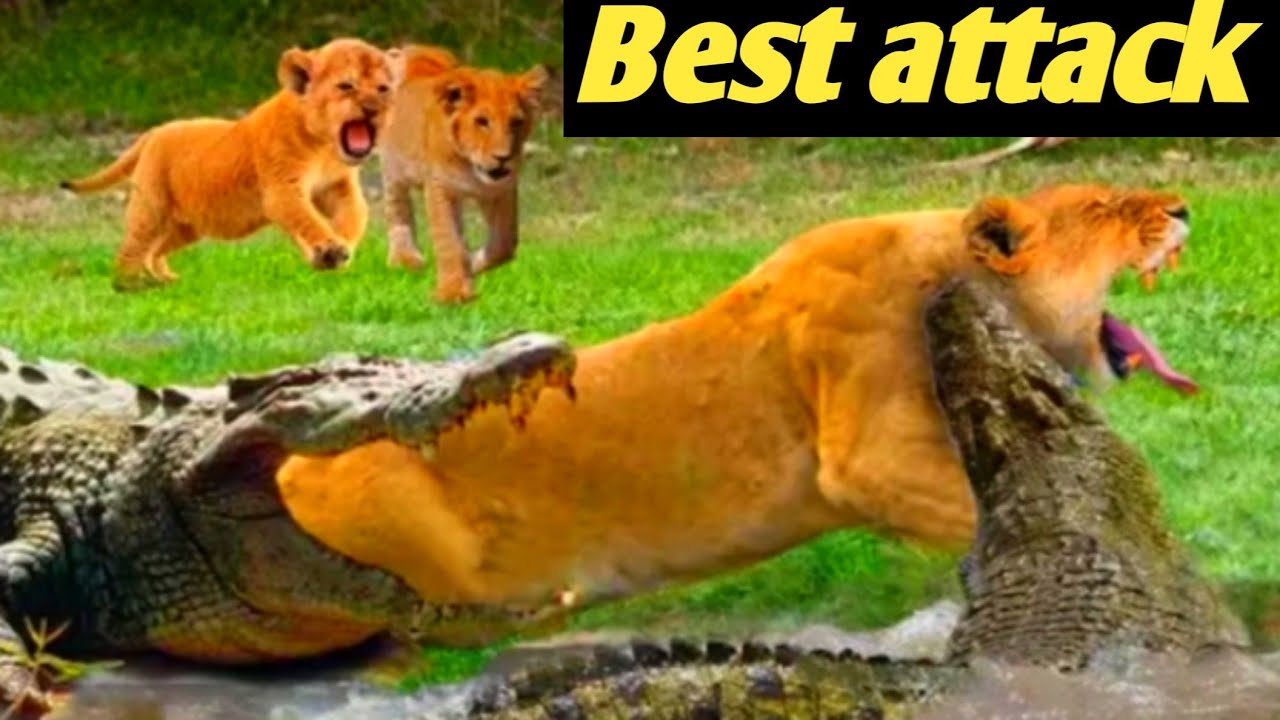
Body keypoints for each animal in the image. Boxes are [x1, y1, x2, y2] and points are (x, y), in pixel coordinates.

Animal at [60, 38, 402, 292]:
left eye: (383, 89)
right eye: (347, 86)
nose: (373, 108)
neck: (324, 148)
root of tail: (155, 131)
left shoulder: (338, 186)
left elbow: (354, 214)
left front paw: (338, 249)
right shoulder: (282, 190)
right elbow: (307, 218)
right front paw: (329, 250)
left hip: (188, 225)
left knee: (155, 250)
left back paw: (165, 280)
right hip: (151, 208)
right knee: (132, 247)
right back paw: (129, 285)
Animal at [378, 44, 550, 304]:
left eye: (516, 122)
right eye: (482, 121)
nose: (503, 157)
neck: (469, 166)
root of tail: (418, 51)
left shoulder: (500, 191)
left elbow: (504, 243)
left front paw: (472, 266)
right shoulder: (440, 188)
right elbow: (449, 241)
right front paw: (452, 293)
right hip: (393, 170)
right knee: (397, 208)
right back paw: (405, 259)